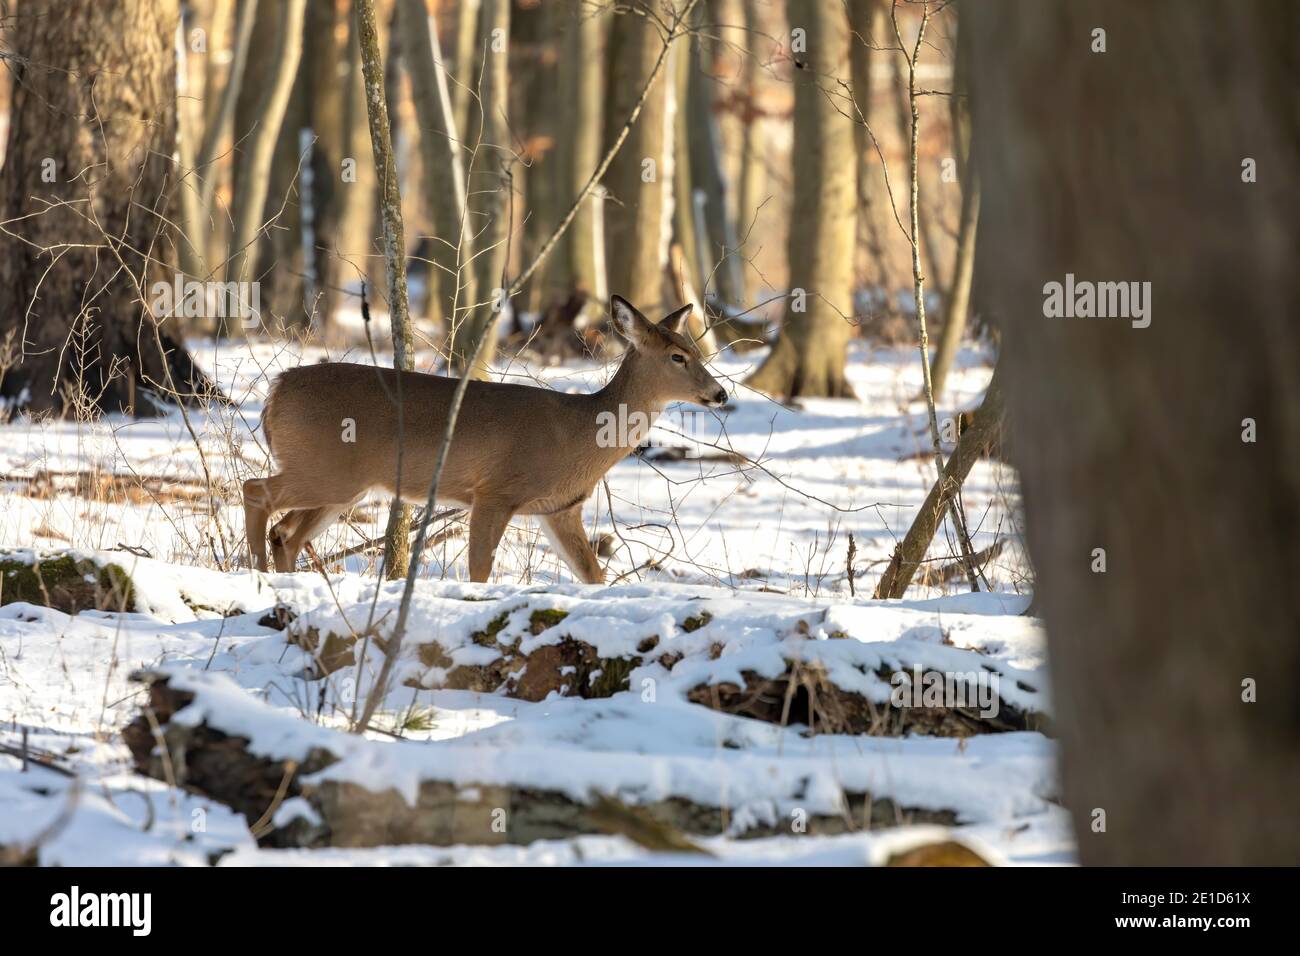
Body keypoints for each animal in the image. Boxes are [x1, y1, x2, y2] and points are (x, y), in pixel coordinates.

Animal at [242, 295, 728, 584]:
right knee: (255, 492)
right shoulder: (495, 490)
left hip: (343, 485)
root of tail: (275, 392)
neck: (578, 435)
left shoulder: (558, 508)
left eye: (697, 351)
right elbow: (480, 568)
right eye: (678, 356)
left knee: (285, 532)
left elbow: (592, 574)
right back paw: (258, 577)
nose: (720, 393)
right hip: (325, 470)